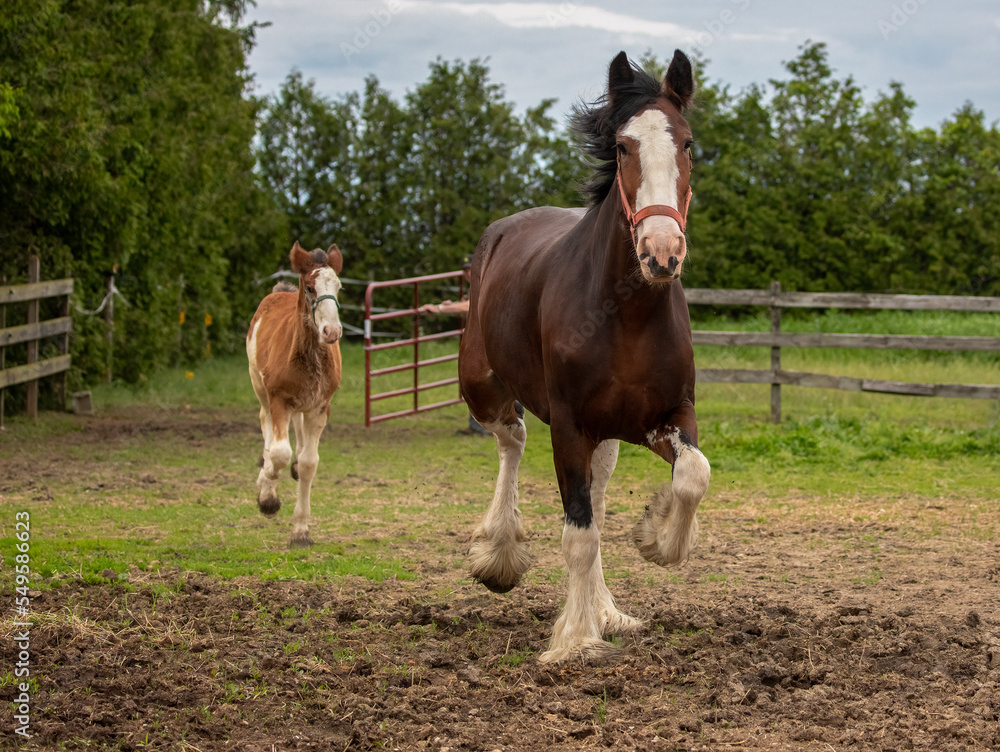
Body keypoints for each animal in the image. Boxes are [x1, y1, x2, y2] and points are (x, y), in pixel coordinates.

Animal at [246, 241, 344, 548]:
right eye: (311, 288)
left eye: (338, 287)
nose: (332, 331)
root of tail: (279, 290)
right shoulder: (279, 398)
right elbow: (278, 454)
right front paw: (267, 496)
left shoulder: (320, 407)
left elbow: (308, 463)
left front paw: (301, 531)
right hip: (260, 388)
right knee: (265, 423)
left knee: (298, 437)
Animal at [457, 50, 710, 663]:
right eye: (622, 147)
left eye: (688, 143)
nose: (662, 253)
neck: (626, 315)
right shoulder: (570, 425)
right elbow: (578, 534)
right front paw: (575, 640)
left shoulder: (668, 416)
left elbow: (692, 475)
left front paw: (657, 536)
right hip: (484, 386)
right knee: (511, 439)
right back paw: (498, 553)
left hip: (607, 434)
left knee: (592, 489)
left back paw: (607, 610)